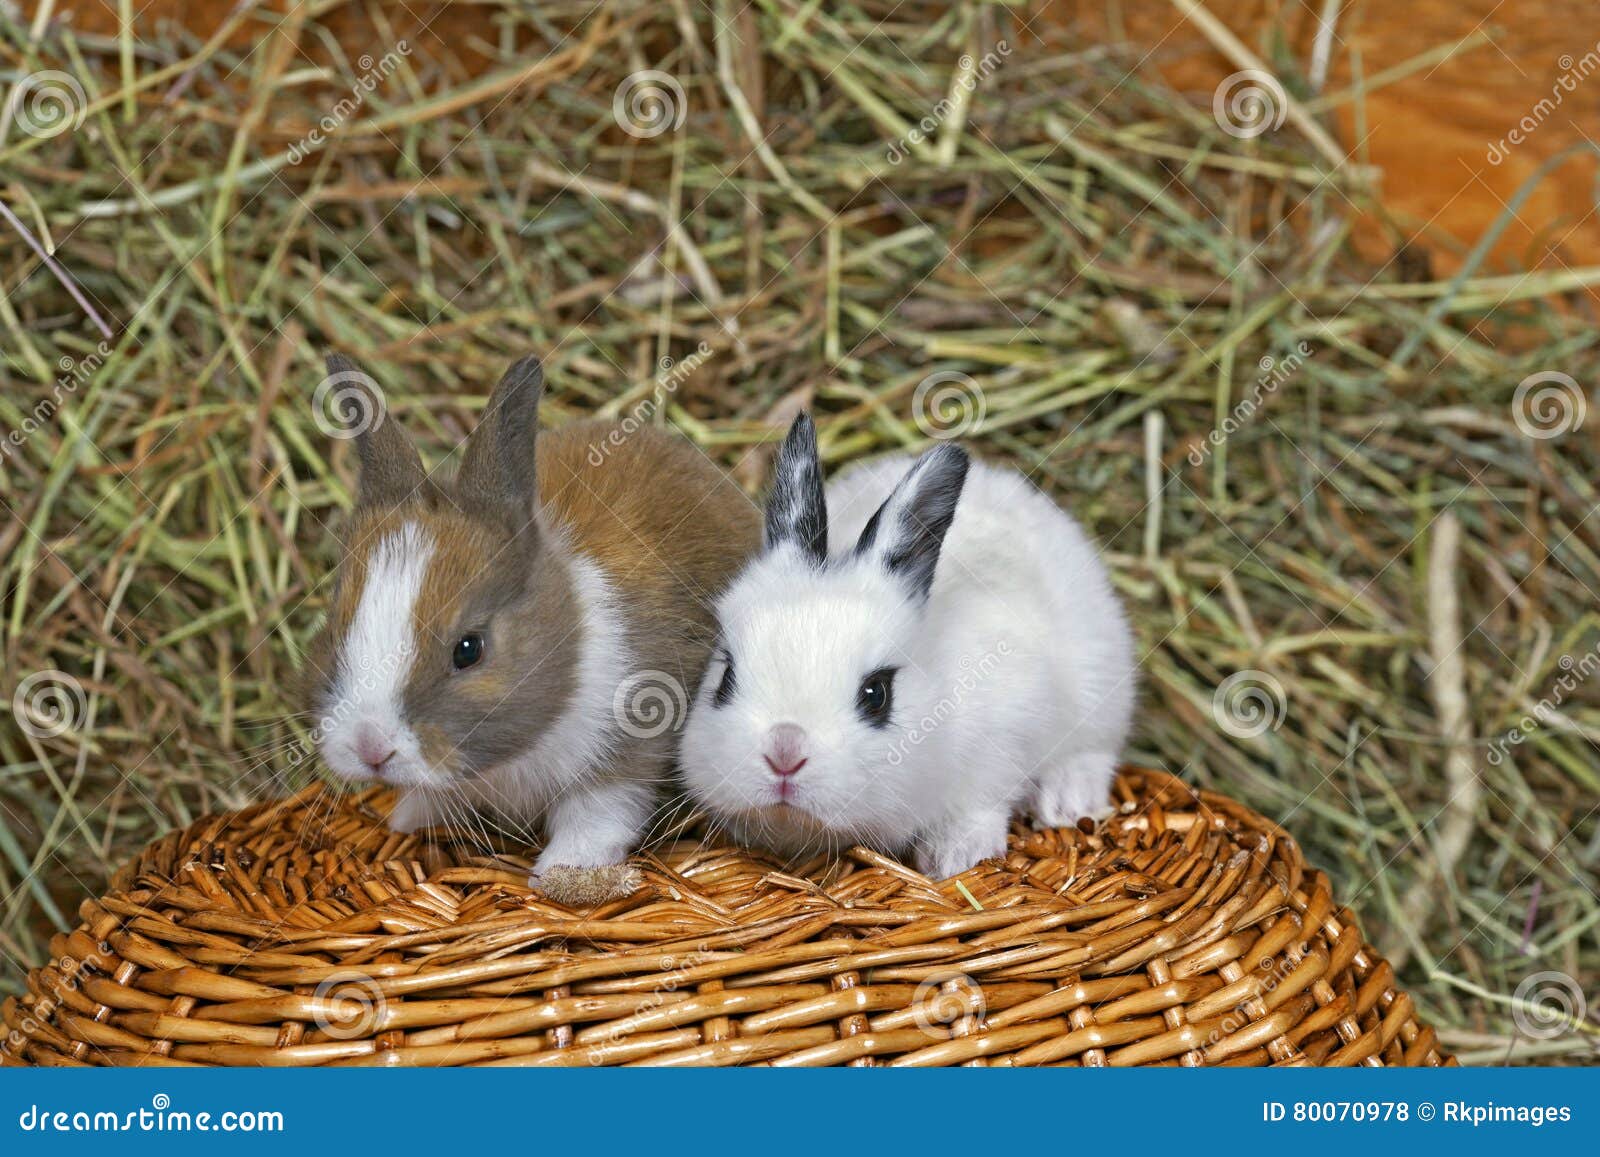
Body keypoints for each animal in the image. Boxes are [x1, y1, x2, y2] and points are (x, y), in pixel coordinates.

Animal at [307, 352, 761, 901]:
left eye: (468, 649)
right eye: (334, 633)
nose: (370, 747)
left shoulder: (627, 751)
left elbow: (596, 817)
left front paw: (563, 876)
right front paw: (406, 819)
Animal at [678, 414, 1136, 880]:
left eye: (876, 693)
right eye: (726, 677)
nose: (784, 752)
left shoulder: (1010, 726)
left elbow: (980, 803)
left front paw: (955, 859)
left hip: (1102, 685)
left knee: (1092, 750)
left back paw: (1067, 804)